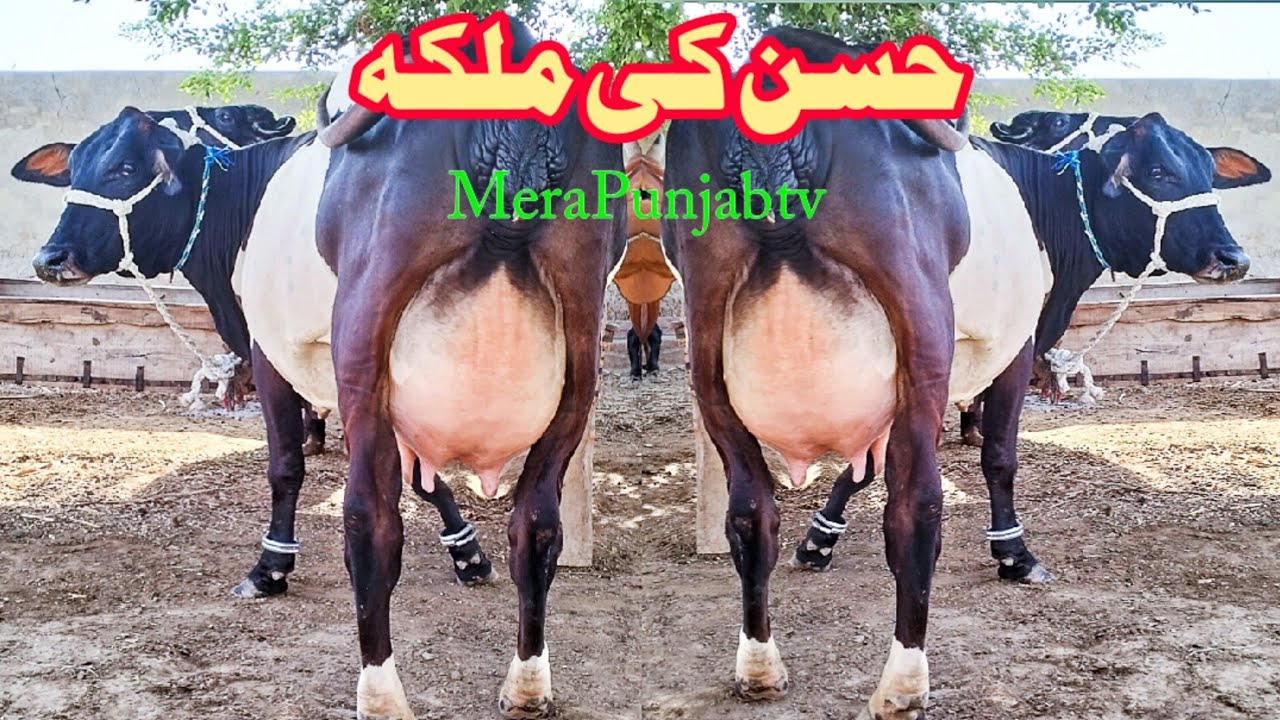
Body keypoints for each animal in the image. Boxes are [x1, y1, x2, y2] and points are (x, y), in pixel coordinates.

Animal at [28, 18, 623, 718]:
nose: (49, 257)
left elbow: (288, 462)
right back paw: (528, 682)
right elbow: (423, 478)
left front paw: (271, 566)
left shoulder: (270, 349)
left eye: (122, 167)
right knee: (536, 526)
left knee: (370, 523)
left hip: (366, 341)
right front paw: (467, 553)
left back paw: (380, 691)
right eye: (75, 166)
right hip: (580, 354)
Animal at [791, 109, 1268, 593]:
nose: (1234, 259)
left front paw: (820, 537)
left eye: (1208, 172)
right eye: (1157, 171)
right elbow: (998, 454)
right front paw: (1013, 552)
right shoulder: (1007, 347)